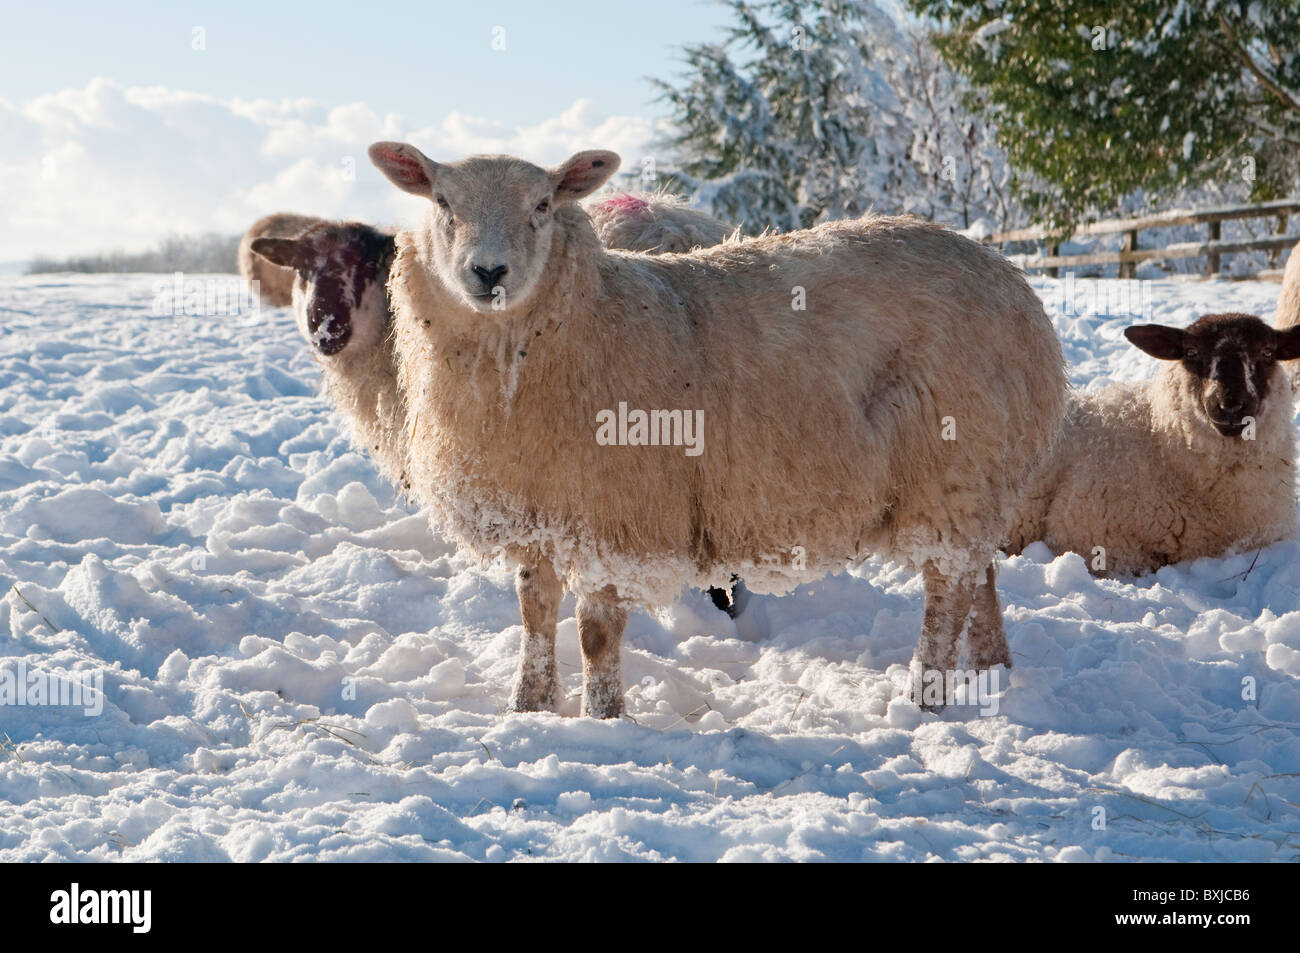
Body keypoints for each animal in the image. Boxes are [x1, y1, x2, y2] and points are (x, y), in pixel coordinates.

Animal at [367, 142, 1067, 718]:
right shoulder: (540, 506)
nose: (489, 273)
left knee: (947, 589)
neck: (587, 318)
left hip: (955, 462)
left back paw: (927, 696)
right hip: (976, 476)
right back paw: (992, 669)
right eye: (443, 202)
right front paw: (528, 708)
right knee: (979, 575)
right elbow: (534, 613)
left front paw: (604, 718)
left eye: (542, 204)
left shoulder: (618, 511)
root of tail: (1011, 280)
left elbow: (595, 633)